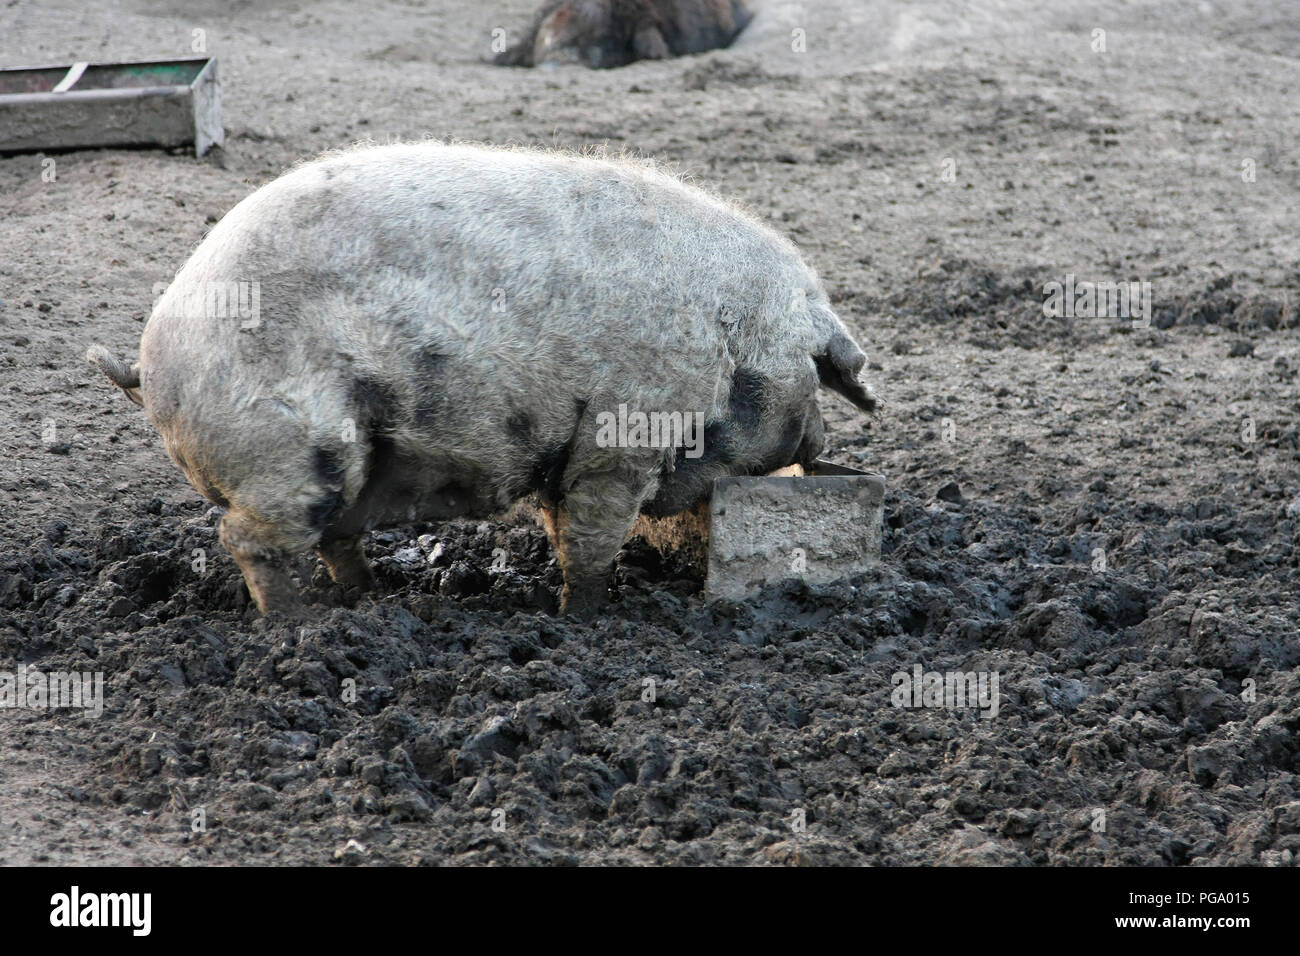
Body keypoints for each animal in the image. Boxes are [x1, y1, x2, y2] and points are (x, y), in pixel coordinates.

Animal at [88, 142, 878, 617]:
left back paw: (371, 600)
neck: (728, 343)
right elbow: (594, 536)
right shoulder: (620, 439)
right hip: (286, 450)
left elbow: (563, 527)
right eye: (813, 374)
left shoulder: (569, 452)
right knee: (247, 538)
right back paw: (300, 627)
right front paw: (587, 616)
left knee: (330, 537)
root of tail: (151, 359)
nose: (821, 440)